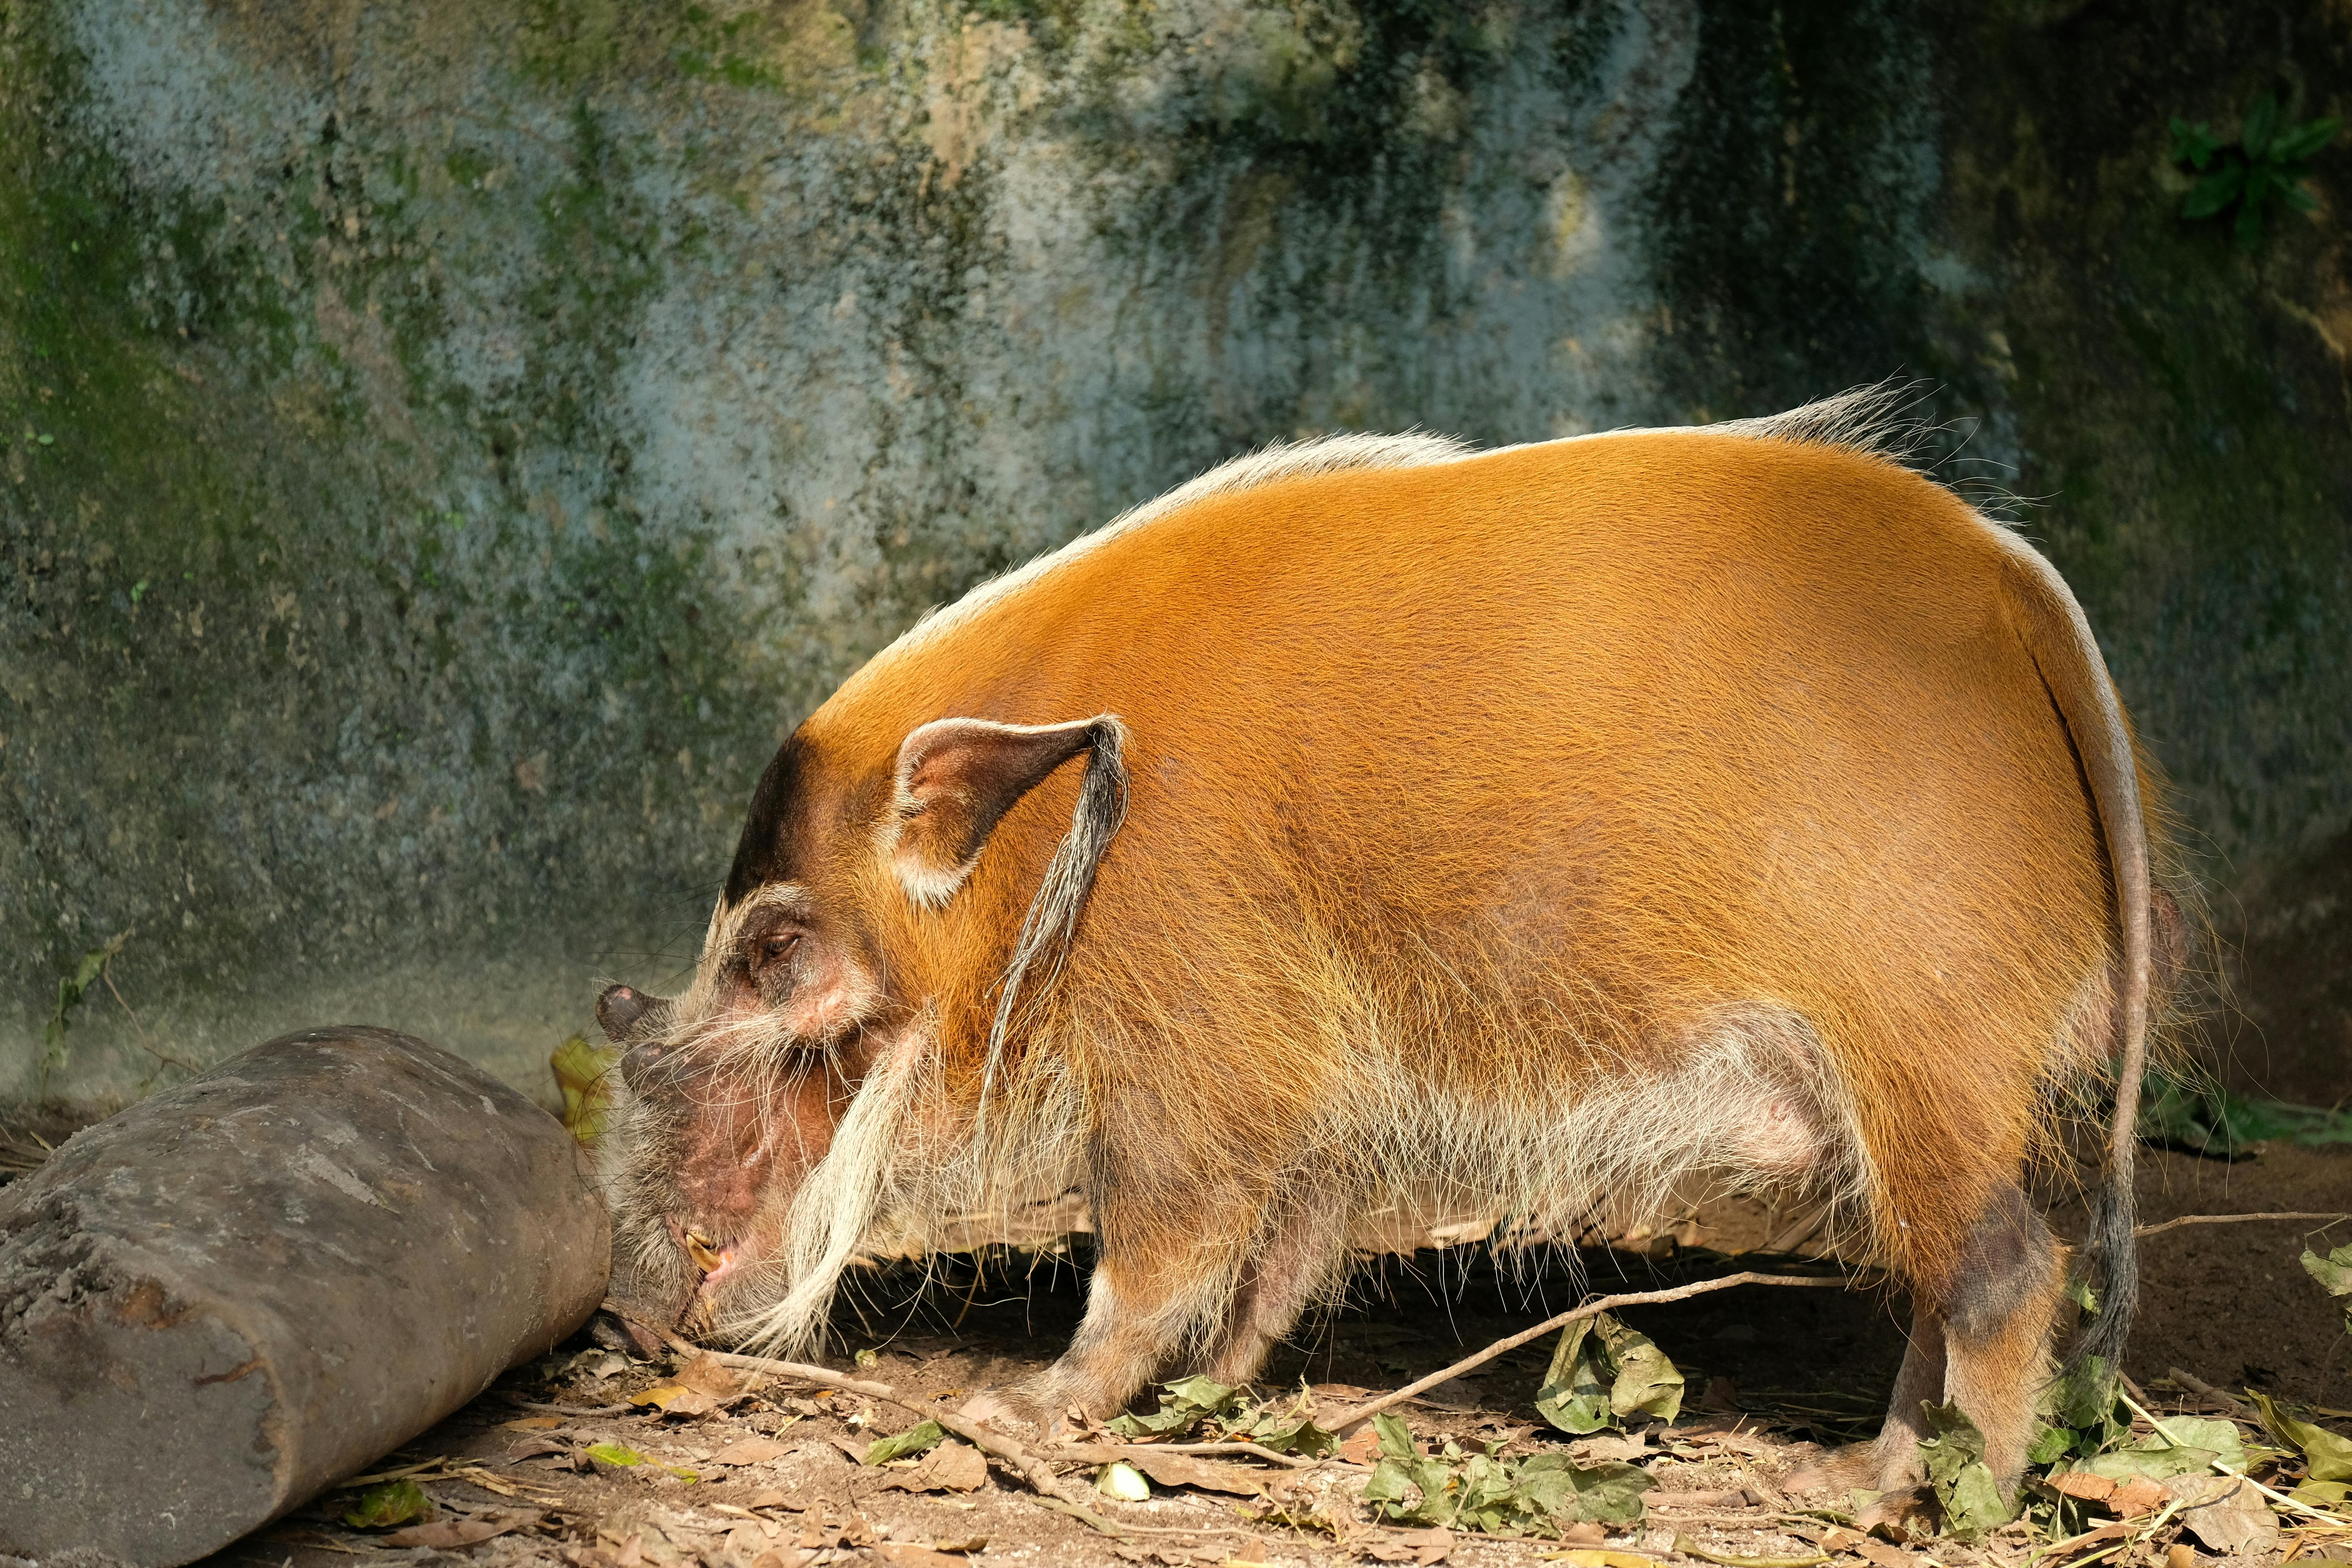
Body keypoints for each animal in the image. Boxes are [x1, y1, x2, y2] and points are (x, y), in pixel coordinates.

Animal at [594, 389, 2169, 1498]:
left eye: (775, 953)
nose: (634, 1317)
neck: (1052, 833)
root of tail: (2016, 596)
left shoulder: (1196, 1021)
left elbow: (1163, 1233)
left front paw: (1030, 1407)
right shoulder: (1323, 1080)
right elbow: (1288, 1240)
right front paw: (1212, 1392)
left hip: (1923, 1039)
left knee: (2006, 1266)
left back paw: (1941, 1496)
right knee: (1949, 1271)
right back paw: (1873, 1466)